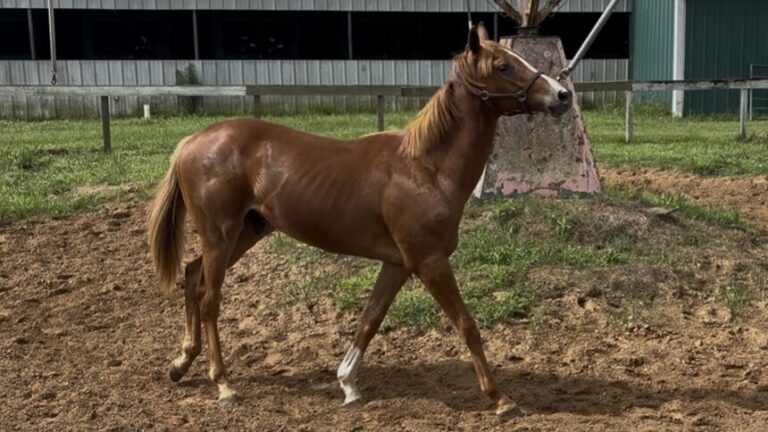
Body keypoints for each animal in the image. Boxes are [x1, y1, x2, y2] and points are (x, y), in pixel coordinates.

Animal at [147, 23, 571, 417]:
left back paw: (181, 364)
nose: (562, 95)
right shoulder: (430, 261)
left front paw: (348, 384)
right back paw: (223, 384)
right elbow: (467, 324)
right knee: (209, 299)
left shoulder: (398, 263)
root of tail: (192, 141)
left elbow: (371, 318)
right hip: (220, 234)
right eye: (503, 65)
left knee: (192, 276)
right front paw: (501, 398)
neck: (427, 168)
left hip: (246, 232)